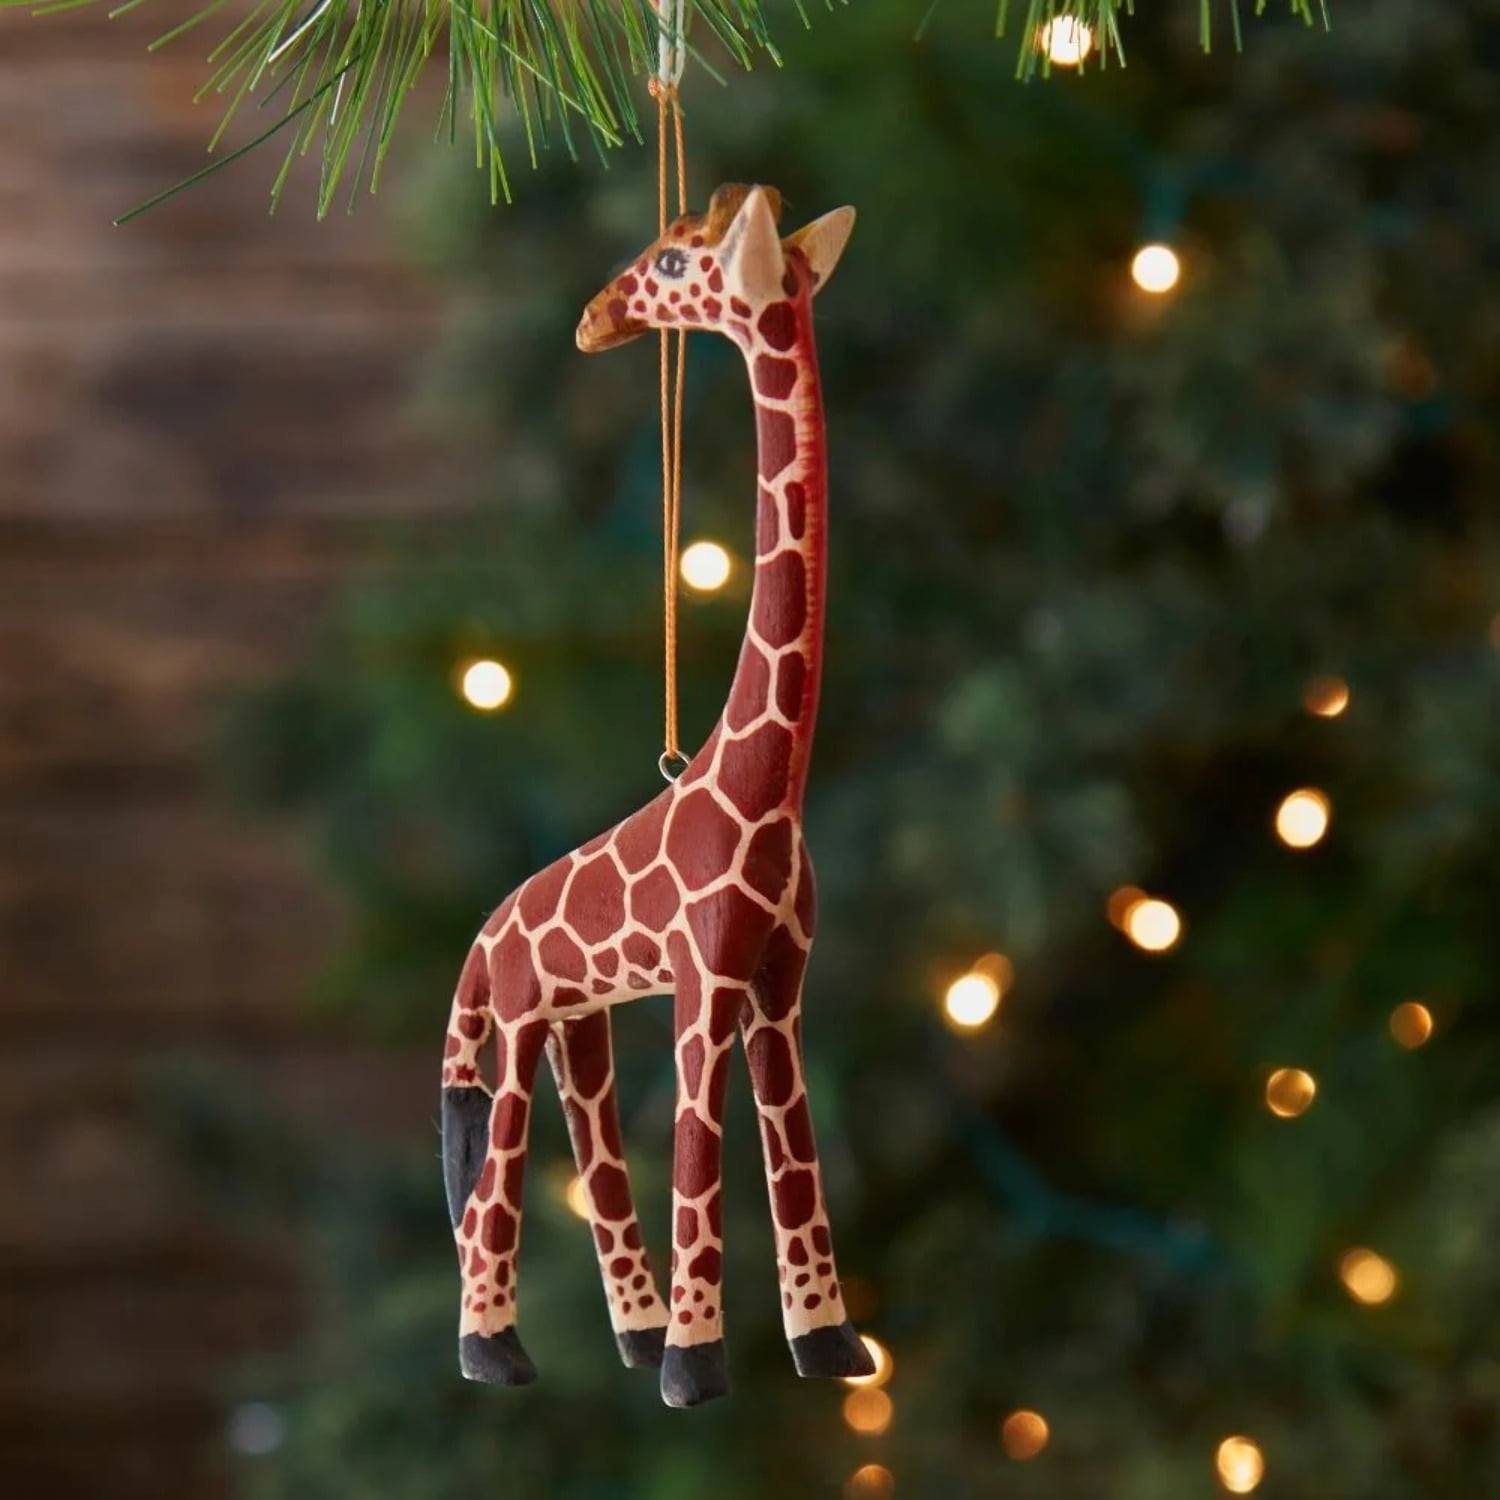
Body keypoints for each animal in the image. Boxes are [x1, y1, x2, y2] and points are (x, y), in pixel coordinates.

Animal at [441, 183, 874, 1409]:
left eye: (680, 260)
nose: (597, 316)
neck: (764, 786)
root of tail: (486, 931)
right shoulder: (701, 979)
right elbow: (697, 1150)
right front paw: (697, 1366)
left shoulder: (777, 986)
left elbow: (793, 1149)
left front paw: (827, 1345)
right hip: (521, 1015)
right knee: (493, 1173)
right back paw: (495, 1353)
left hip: (574, 1021)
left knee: (585, 1148)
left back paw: (627, 1335)